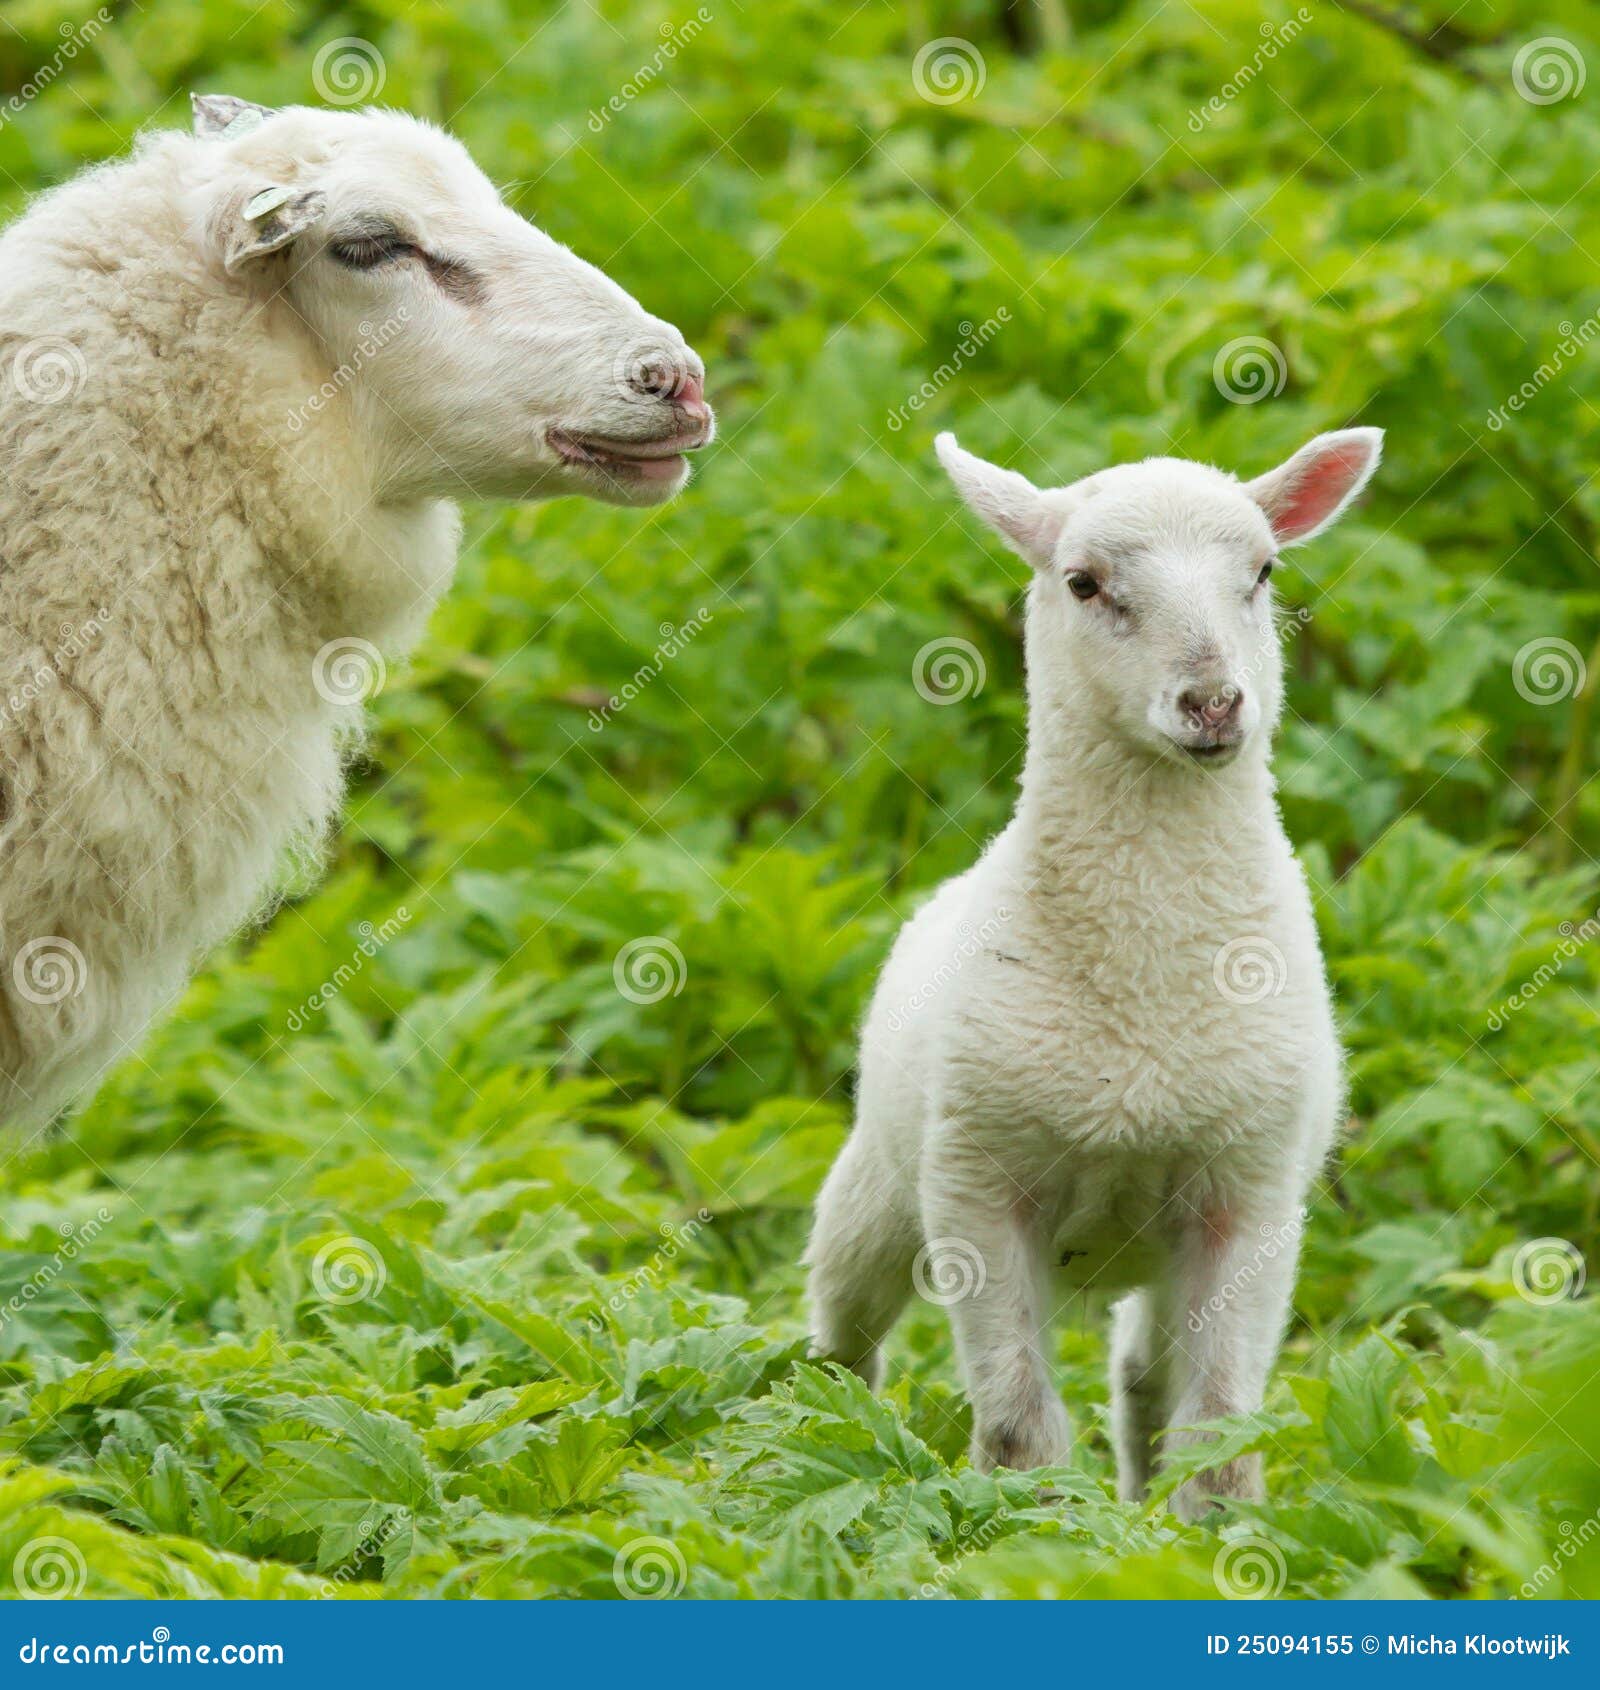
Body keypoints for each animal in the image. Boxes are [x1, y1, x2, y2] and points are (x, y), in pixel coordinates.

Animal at [806, 424, 1382, 1520]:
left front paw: (1215, 1534)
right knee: (840, 1333)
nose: (1213, 702)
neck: (1144, 988)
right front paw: (1033, 1532)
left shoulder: (1248, 1192)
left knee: (1142, 1374)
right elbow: (1017, 1428)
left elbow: (1219, 1430)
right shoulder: (977, 1187)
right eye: (1082, 582)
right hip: (879, 1182)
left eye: (1263, 572)